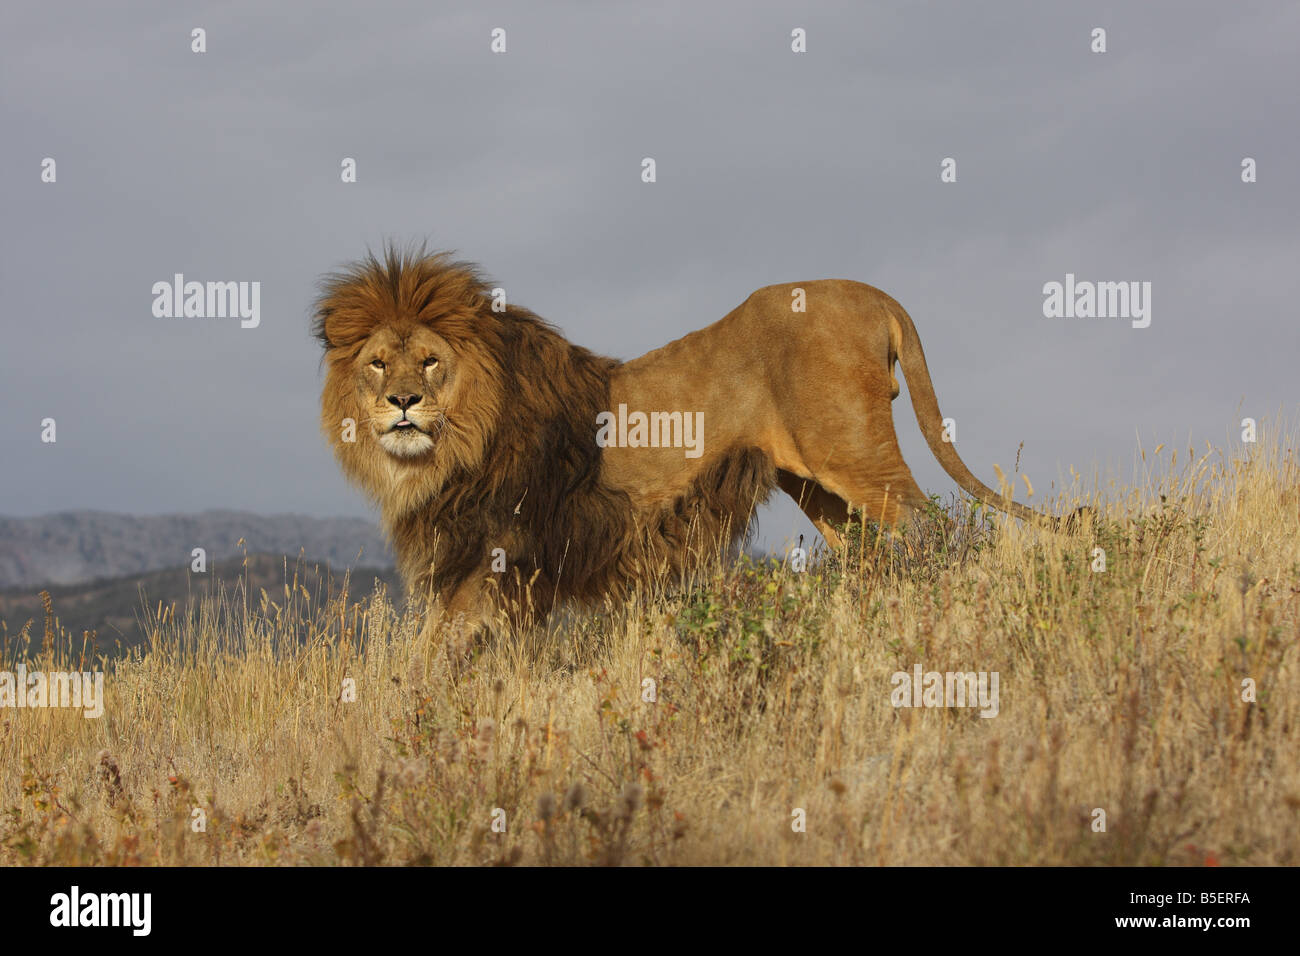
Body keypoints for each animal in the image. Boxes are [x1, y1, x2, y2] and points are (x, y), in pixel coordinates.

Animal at [313, 247, 1059, 635]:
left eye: (429, 362)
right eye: (377, 362)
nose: (401, 402)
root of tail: (875, 294)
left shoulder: (489, 555)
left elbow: (436, 656)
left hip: (853, 456)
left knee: (937, 532)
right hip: (819, 488)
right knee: (872, 555)